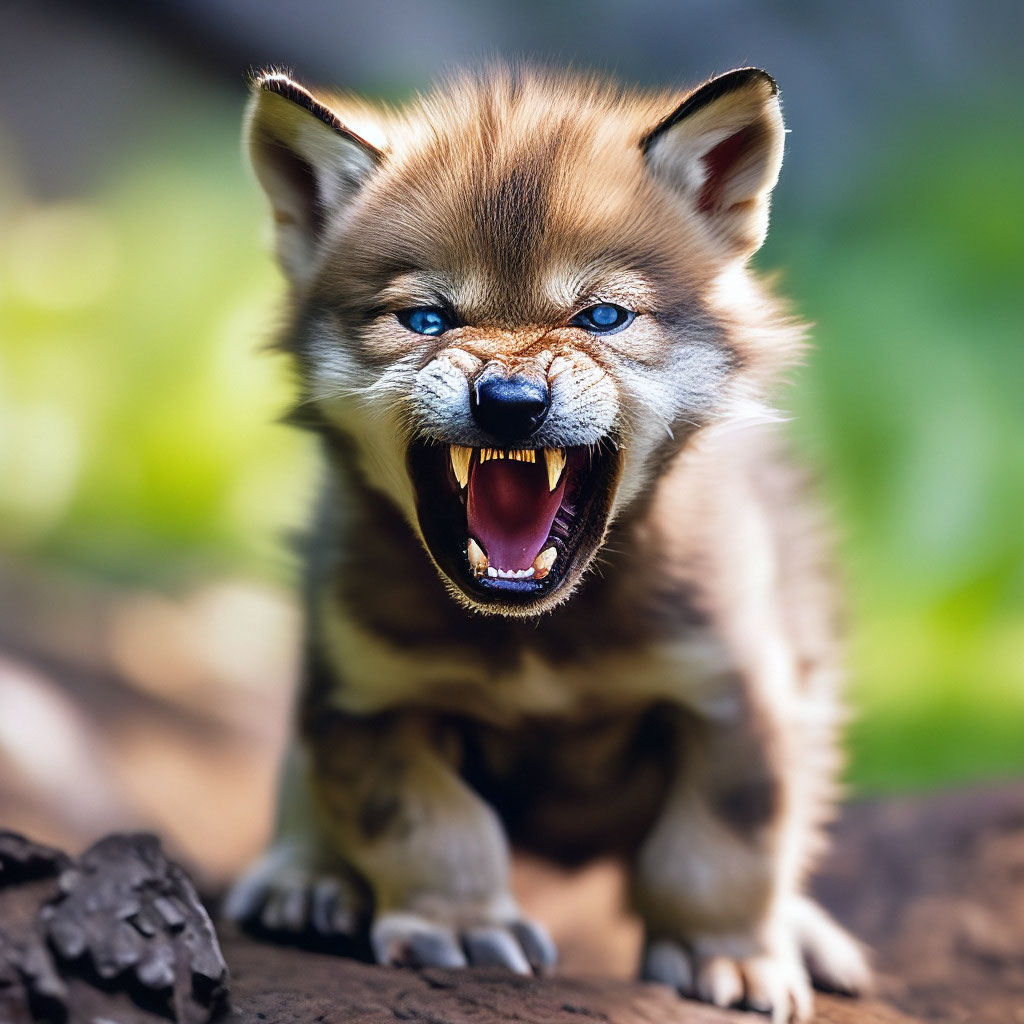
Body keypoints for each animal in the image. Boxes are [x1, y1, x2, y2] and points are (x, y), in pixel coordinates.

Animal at [224, 65, 872, 1020]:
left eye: (602, 316)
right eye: (425, 319)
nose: (510, 402)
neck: (537, 635)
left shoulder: (734, 692)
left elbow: (719, 849)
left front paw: (726, 953)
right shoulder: (364, 695)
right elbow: (426, 823)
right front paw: (459, 924)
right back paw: (303, 883)